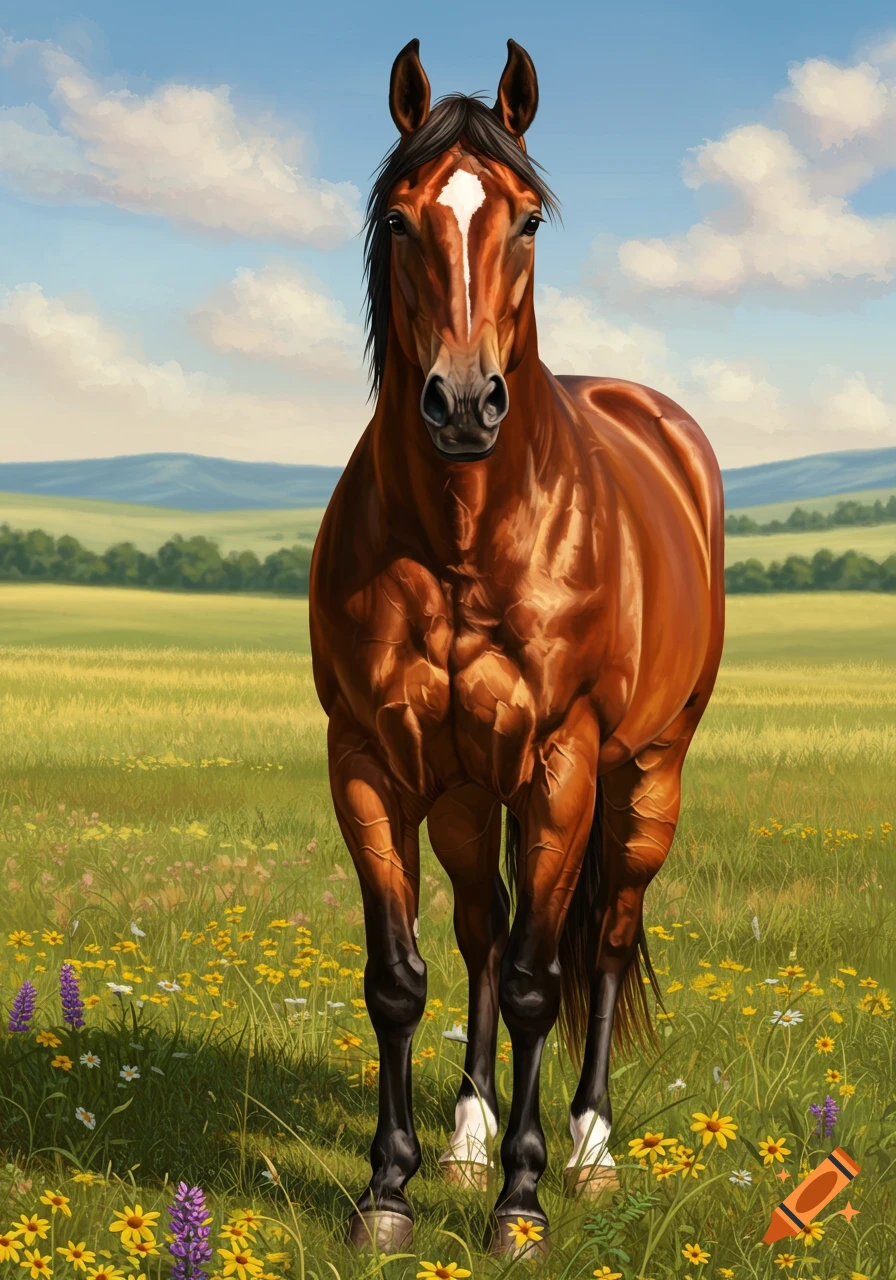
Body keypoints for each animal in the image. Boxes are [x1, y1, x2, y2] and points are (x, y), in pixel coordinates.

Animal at [309, 37, 725, 1257]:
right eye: (401, 219)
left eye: (529, 218)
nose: (460, 403)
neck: (463, 536)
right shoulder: (368, 761)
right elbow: (399, 977)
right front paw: (391, 1190)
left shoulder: (562, 762)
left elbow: (548, 979)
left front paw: (522, 1202)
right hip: (458, 791)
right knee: (482, 934)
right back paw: (464, 1137)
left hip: (644, 778)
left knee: (604, 937)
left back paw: (587, 1151)